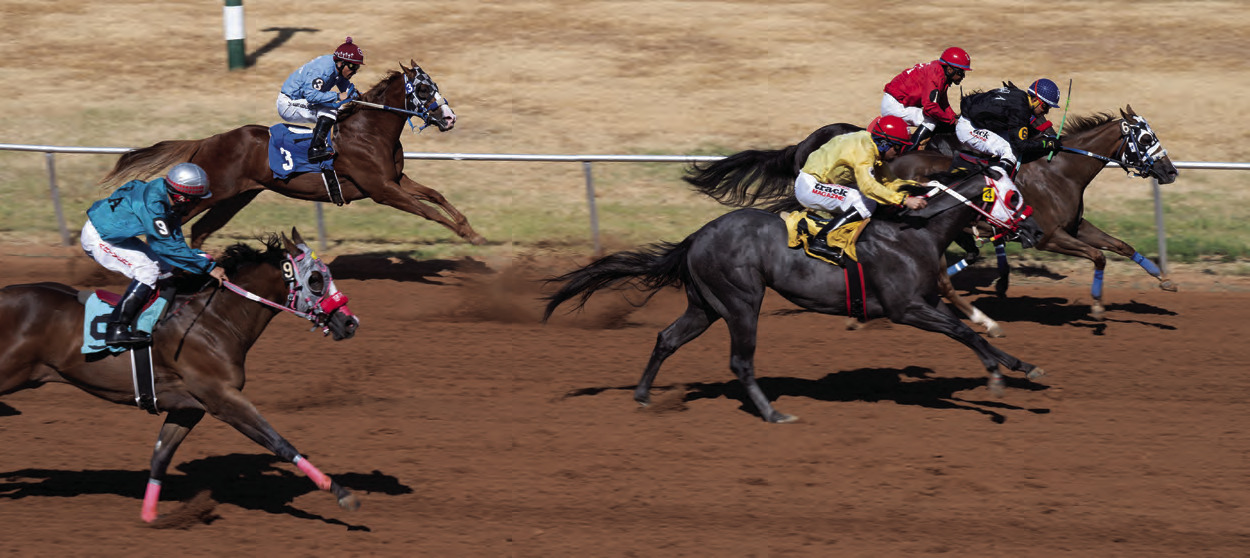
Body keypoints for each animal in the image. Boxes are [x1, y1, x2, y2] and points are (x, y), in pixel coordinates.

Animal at [0, 228, 362, 522]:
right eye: (316, 279)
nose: (349, 322)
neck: (214, 320)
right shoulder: (222, 399)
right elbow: (278, 442)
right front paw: (342, 493)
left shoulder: (188, 407)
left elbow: (160, 456)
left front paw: (152, 516)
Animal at [98, 61, 485, 249]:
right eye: (424, 89)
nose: (449, 118)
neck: (370, 129)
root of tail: (209, 140)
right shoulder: (382, 189)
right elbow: (426, 209)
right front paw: (465, 236)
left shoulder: (396, 178)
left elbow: (435, 195)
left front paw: (472, 232)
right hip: (213, 193)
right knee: (176, 221)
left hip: (235, 197)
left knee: (201, 230)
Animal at [542, 172, 1046, 423]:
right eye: (1014, 197)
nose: (1038, 231)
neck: (913, 233)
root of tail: (696, 237)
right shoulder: (907, 309)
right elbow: (965, 334)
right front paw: (995, 380)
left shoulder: (926, 302)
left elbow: (974, 332)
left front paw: (1025, 367)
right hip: (741, 302)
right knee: (741, 362)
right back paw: (772, 413)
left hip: (705, 305)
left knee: (667, 338)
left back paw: (645, 395)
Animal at [685, 105, 1179, 322]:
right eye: (1146, 138)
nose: (1171, 171)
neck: (1060, 169)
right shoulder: (1049, 234)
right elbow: (1098, 257)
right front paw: (1095, 307)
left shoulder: (1074, 225)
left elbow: (1120, 246)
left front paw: (1165, 279)